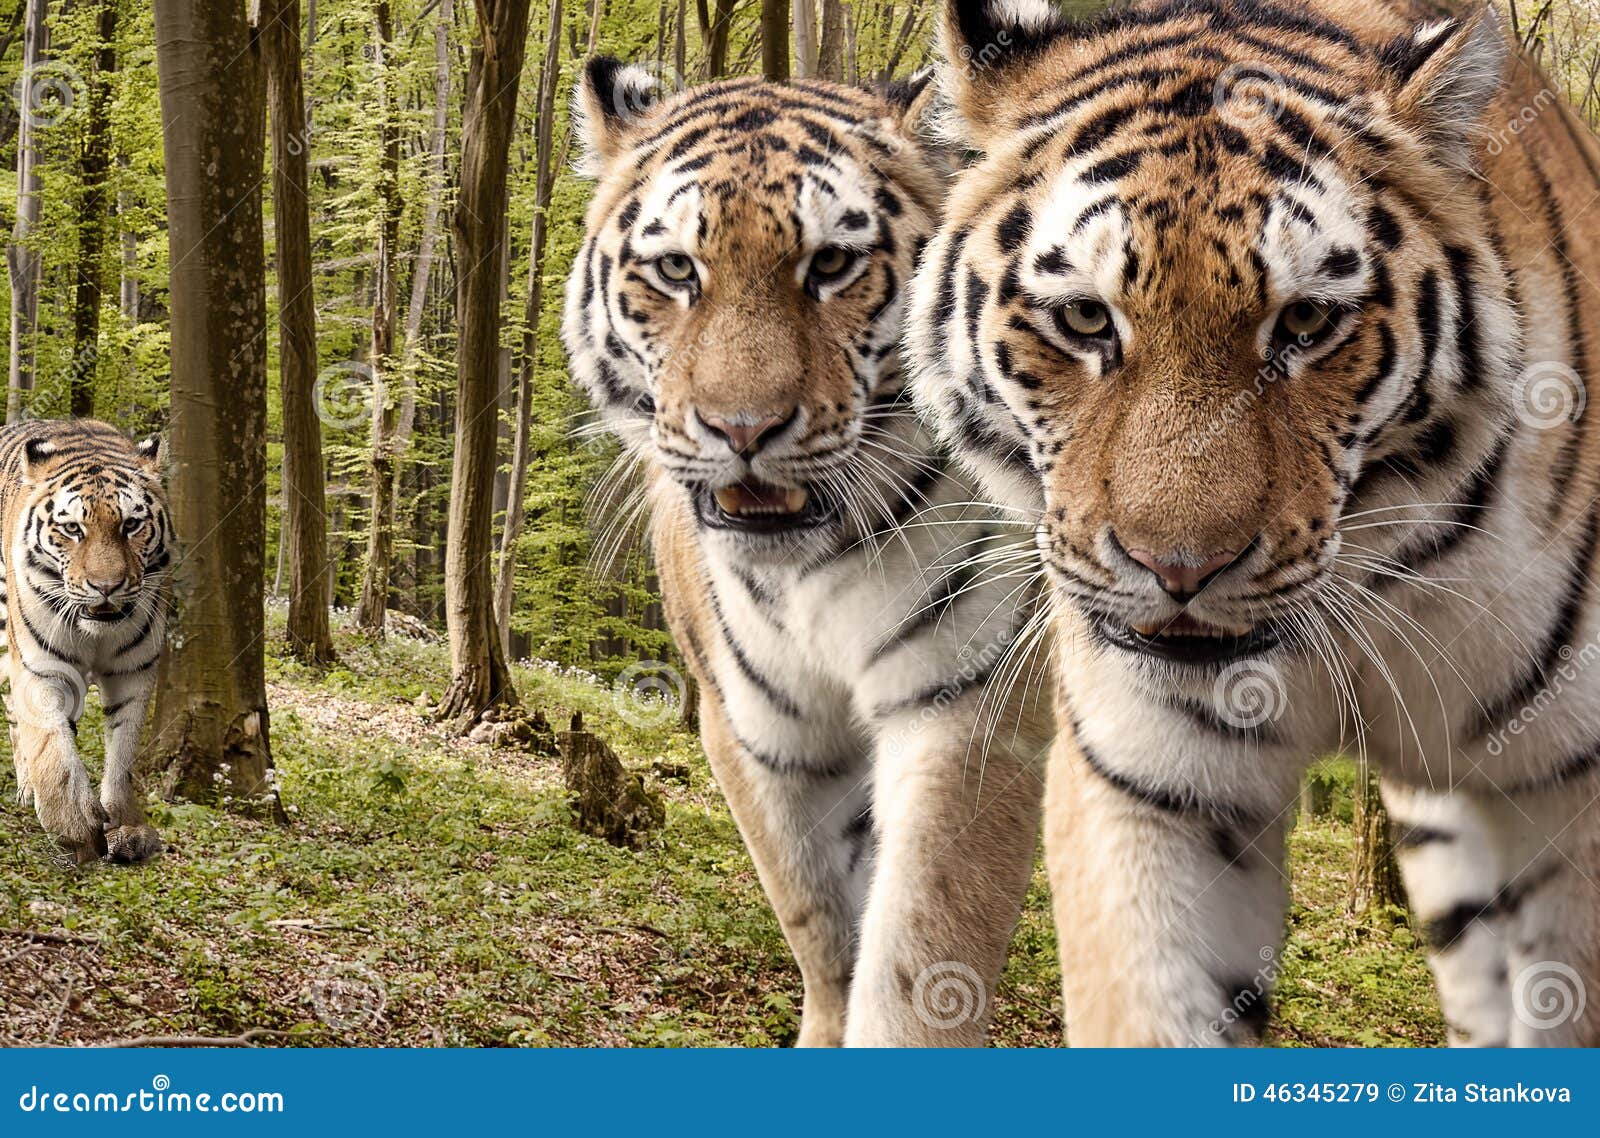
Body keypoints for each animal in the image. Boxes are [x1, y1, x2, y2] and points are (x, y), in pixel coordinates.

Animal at [0, 419, 172, 866]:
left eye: (131, 525)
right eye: (72, 528)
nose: (106, 586)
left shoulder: (134, 672)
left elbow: (124, 750)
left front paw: (126, 827)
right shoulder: (40, 668)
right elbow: (50, 744)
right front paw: (73, 826)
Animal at [562, 64, 1054, 1046]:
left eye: (830, 265)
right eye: (677, 270)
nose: (743, 428)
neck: (809, 574)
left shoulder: (968, 714)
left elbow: (923, 958)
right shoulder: (759, 732)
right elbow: (821, 924)